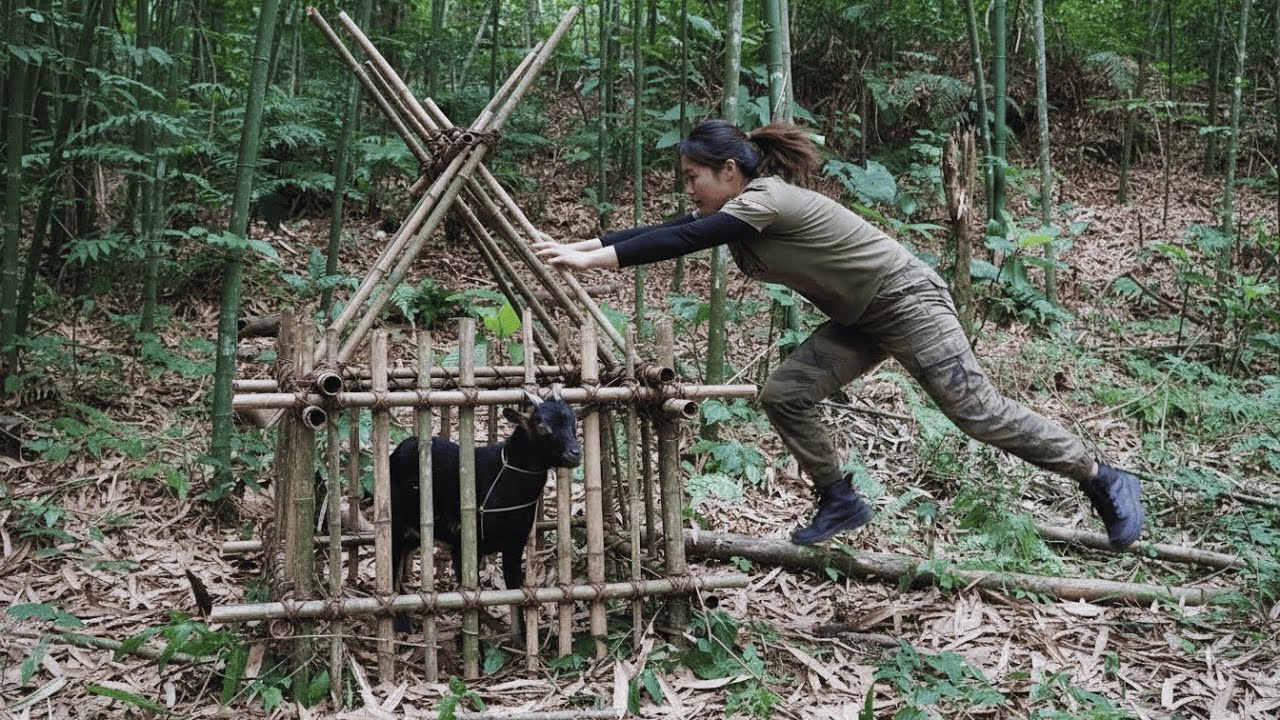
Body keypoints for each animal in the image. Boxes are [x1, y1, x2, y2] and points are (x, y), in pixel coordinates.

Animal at [389, 387, 582, 632]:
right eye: (542, 427)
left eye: (574, 422)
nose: (575, 452)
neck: (503, 479)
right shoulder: (463, 543)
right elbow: (472, 598)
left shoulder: (514, 544)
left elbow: (515, 594)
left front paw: (517, 637)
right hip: (395, 521)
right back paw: (401, 622)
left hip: (415, 531)